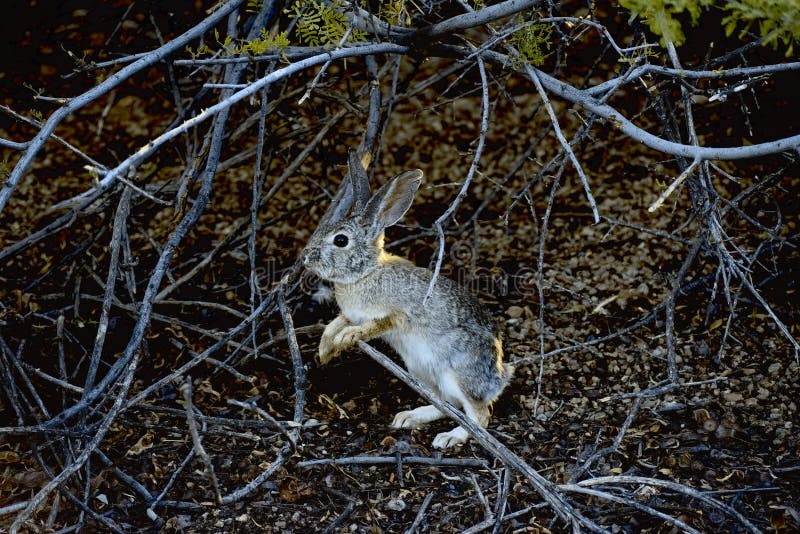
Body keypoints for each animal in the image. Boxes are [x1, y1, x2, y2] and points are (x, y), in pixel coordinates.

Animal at [302, 168, 513, 449]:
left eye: (341, 240)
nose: (305, 257)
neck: (365, 274)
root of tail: (498, 379)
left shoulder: (395, 315)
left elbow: (371, 327)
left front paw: (346, 338)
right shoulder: (349, 315)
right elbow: (333, 325)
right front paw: (325, 350)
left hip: (460, 374)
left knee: (479, 416)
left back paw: (450, 436)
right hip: (418, 370)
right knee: (445, 404)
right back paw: (408, 417)